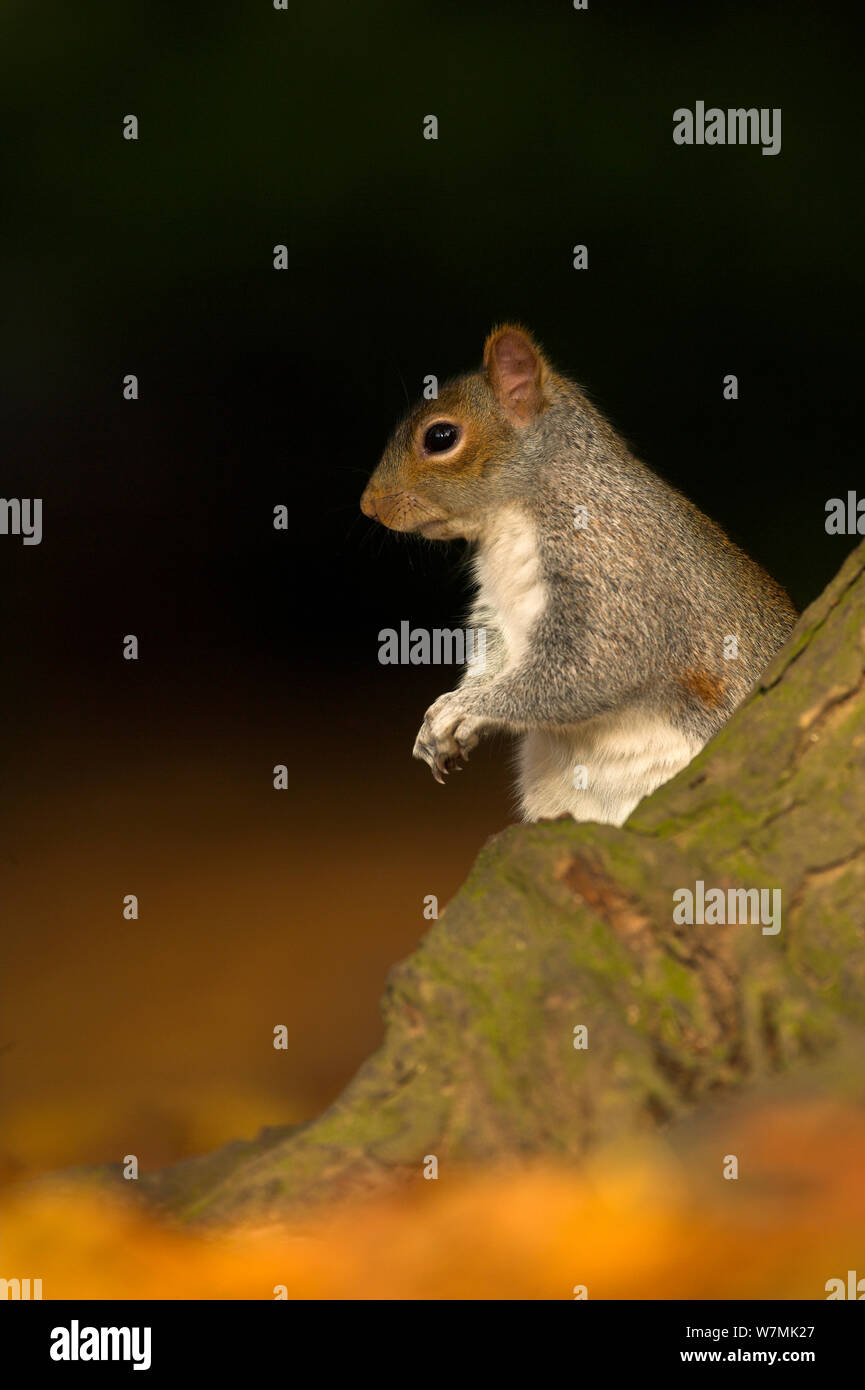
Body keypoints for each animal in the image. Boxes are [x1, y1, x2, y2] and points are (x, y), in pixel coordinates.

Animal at [360, 325, 797, 826]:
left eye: (440, 436)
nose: (368, 506)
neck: (509, 516)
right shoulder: (498, 610)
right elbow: (495, 655)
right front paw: (444, 713)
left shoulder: (616, 567)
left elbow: (592, 668)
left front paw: (467, 709)